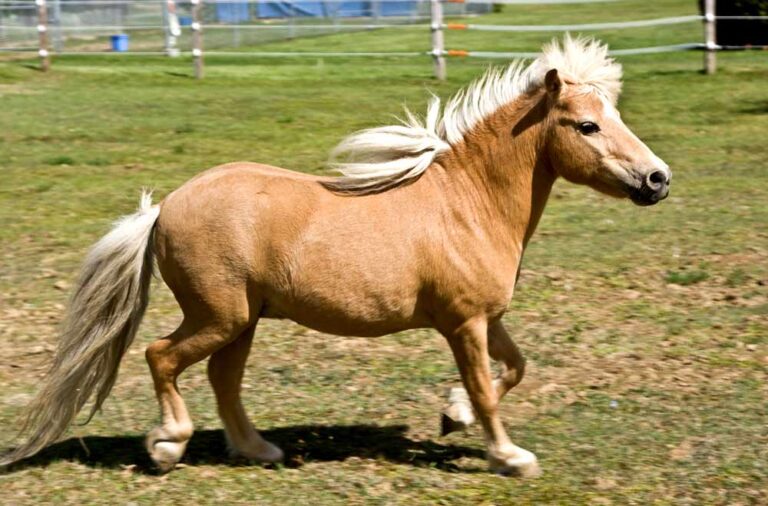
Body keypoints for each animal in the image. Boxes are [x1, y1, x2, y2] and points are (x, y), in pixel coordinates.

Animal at [2, 36, 670, 477]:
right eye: (586, 126)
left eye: (614, 115)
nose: (658, 179)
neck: (467, 204)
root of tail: (164, 207)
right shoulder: (463, 323)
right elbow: (485, 386)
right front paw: (510, 457)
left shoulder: (486, 317)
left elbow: (514, 369)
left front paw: (451, 417)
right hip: (219, 315)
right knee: (161, 357)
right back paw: (167, 444)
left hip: (242, 320)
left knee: (223, 377)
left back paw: (260, 451)